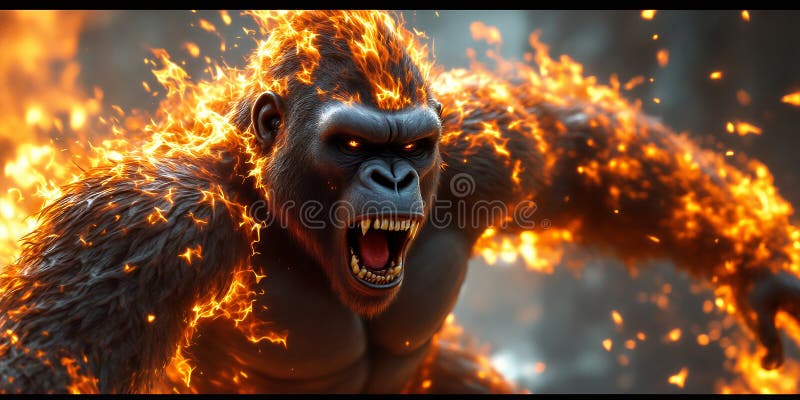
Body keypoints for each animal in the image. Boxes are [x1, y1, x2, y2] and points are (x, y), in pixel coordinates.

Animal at [2, 10, 800, 394]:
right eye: (352, 144)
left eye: (412, 146)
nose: (393, 179)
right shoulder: (153, 223)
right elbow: (44, 356)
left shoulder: (480, 149)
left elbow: (567, 146)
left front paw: (757, 272)